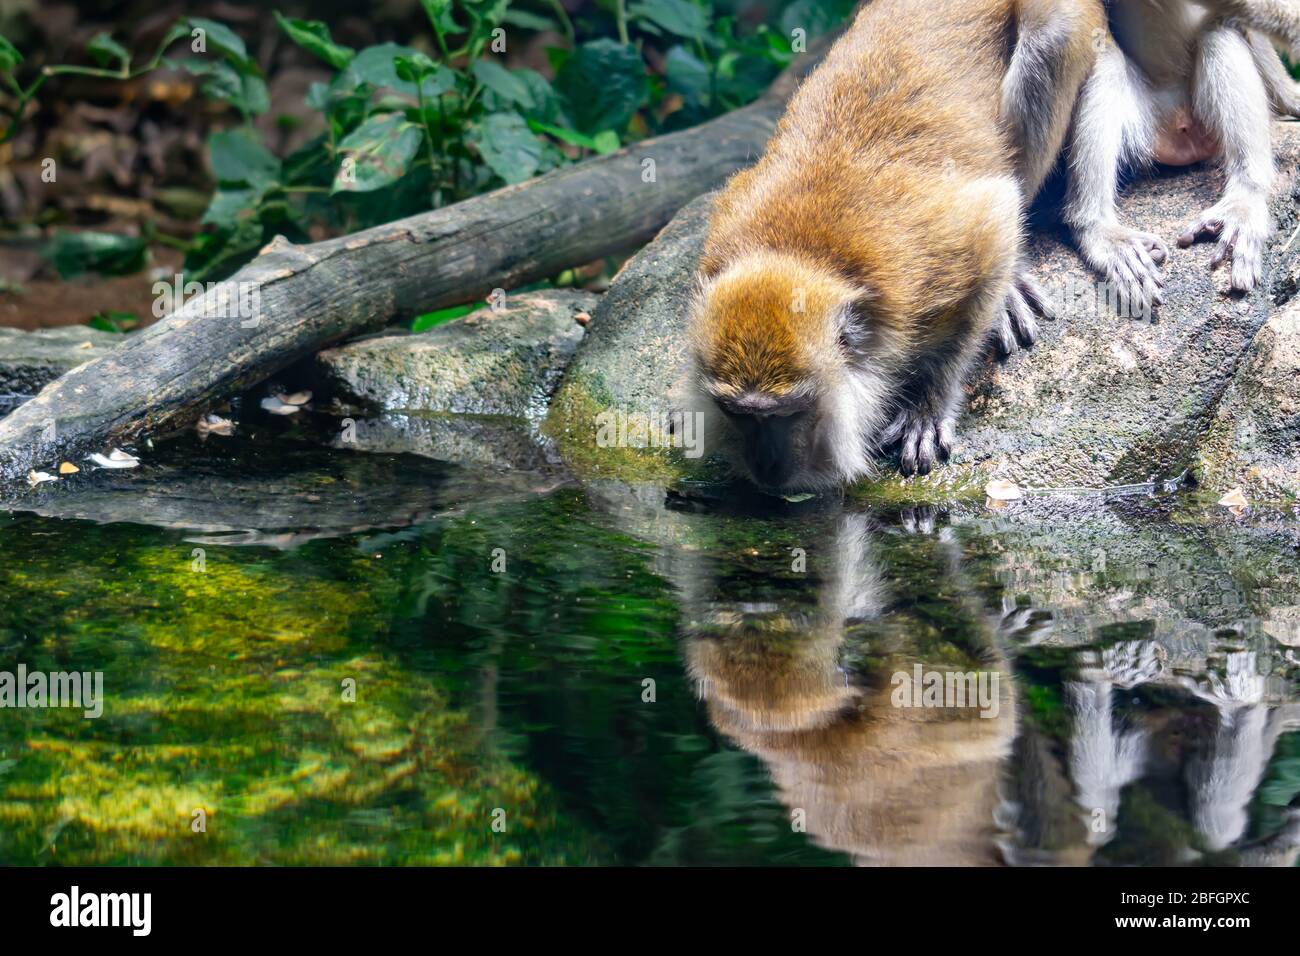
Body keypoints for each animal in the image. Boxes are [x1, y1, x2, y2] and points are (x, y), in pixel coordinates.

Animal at [688, 0, 1106, 488]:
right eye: (739, 414)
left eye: (785, 414)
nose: (766, 467)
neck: (802, 256)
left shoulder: (928, 264)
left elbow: (997, 218)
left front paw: (927, 404)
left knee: (1051, 35)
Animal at [1065, 1, 1300, 314]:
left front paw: (1291, 96)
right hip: (1148, 120)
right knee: (1106, 62)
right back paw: (1098, 228)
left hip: (1202, 119)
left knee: (1220, 32)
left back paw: (1246, 195)